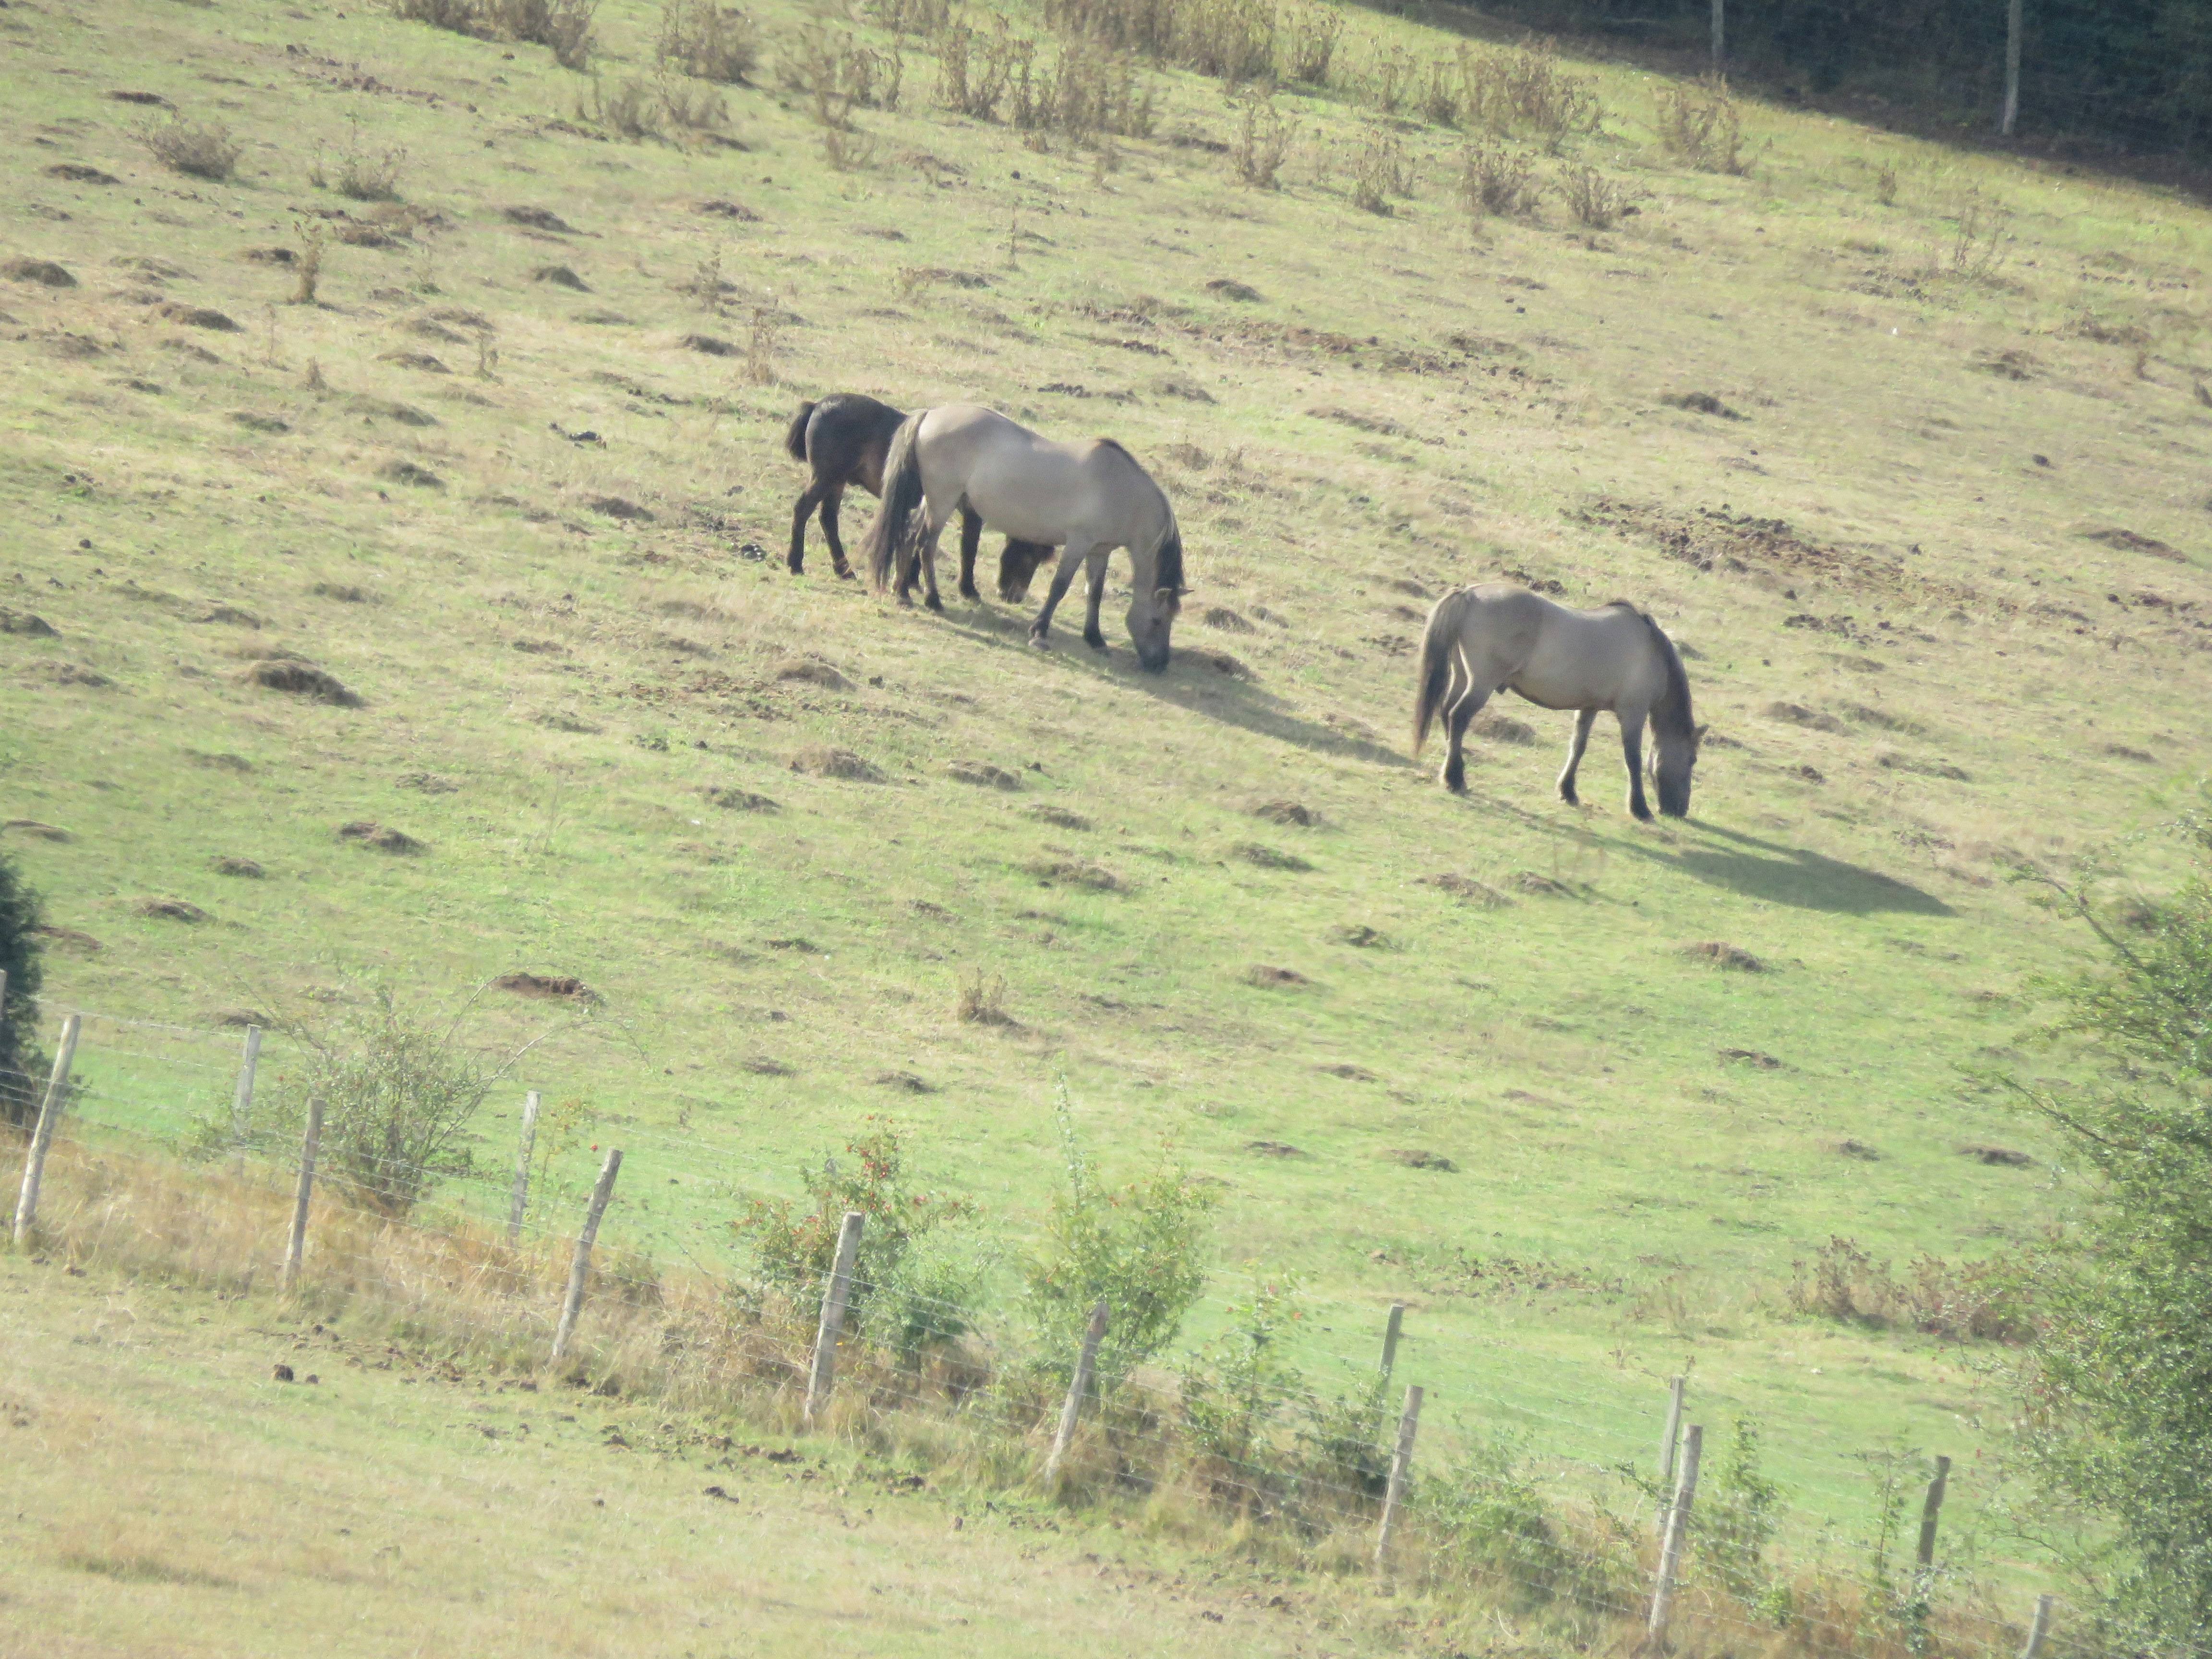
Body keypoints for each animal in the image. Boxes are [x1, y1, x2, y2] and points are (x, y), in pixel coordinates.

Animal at [783, 393, 1054, 599]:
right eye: (1031, 556)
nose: (1012, 596)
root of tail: (818, 405)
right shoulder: (967, 512)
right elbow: (968, 547)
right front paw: (968, 590)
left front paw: (911, 581)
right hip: (826, 478)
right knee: (803, 510)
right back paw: (796, 564)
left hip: (836, 482)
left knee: (828, 519)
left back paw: (845, 570)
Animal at [860, 404, 1187, 671]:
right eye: (1158, 620)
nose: (1160, 664)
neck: (1123, 492)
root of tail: (931, 414)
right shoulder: (1078, 544)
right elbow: (1059, 587)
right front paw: (1040, 633)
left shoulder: (1099, 551)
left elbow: (1094, 593)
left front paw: (1095, 639)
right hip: (943, 501)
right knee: (925, 544)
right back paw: (929, 598)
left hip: (935, 502)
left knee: (909, 536)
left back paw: (905, 592)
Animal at [1412, 583, 1700, 820]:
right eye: (1692, 760)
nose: (1679, 811)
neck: (1650, 650)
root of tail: (1470, 594)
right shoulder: (1633, 714)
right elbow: (1633, 759)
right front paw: (1640, 809)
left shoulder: (1589, 708)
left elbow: (1578, 747)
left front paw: (1568, 791)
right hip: (1482, 684)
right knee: (1458, 717)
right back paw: (1454, 779)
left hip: (1462, 676)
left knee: (1447, 714)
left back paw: (1455, 772)